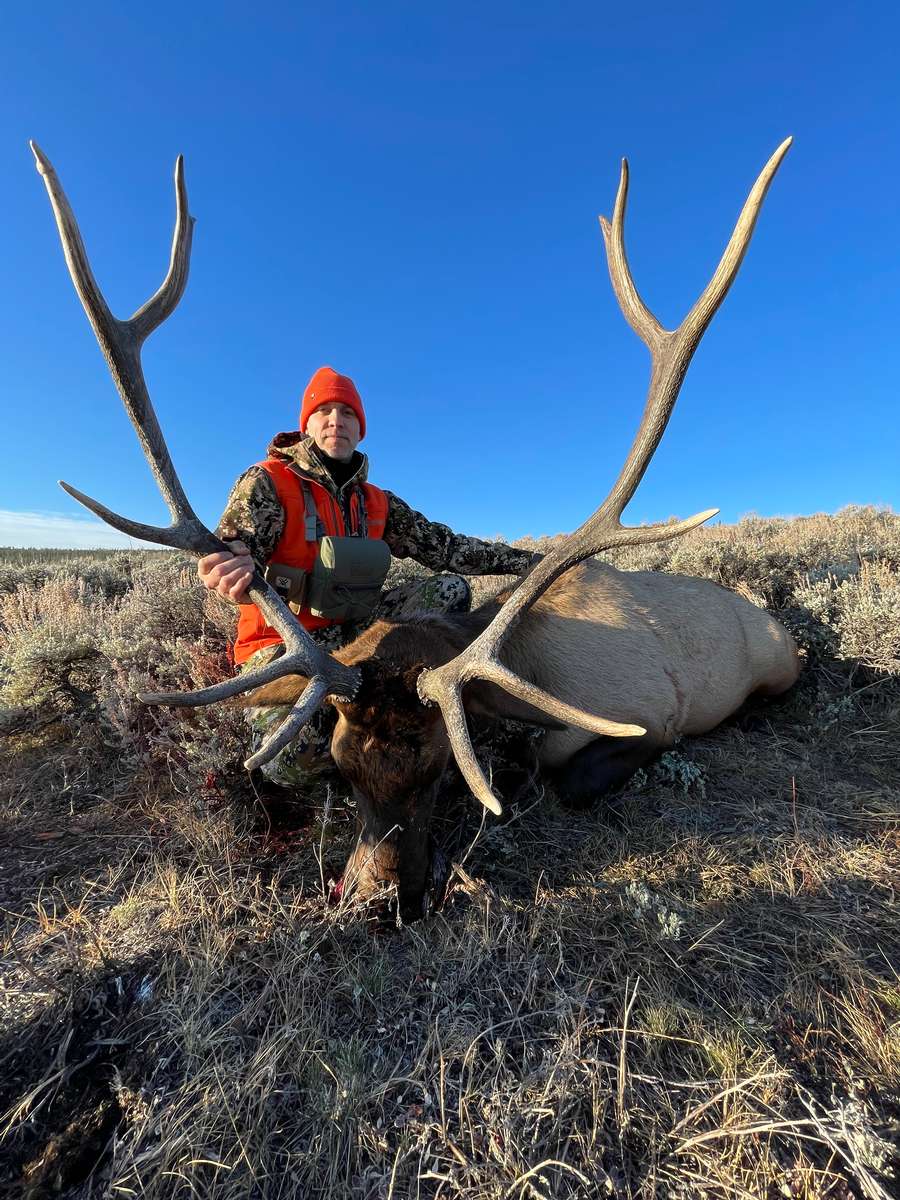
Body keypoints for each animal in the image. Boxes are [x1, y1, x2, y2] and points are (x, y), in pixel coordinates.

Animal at [32, 138, 800, 923]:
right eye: (341, 767)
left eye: (441, 771)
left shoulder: (649, 714)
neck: (523, 673)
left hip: (779, 665)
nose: (375, 903)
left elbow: (568, 774)